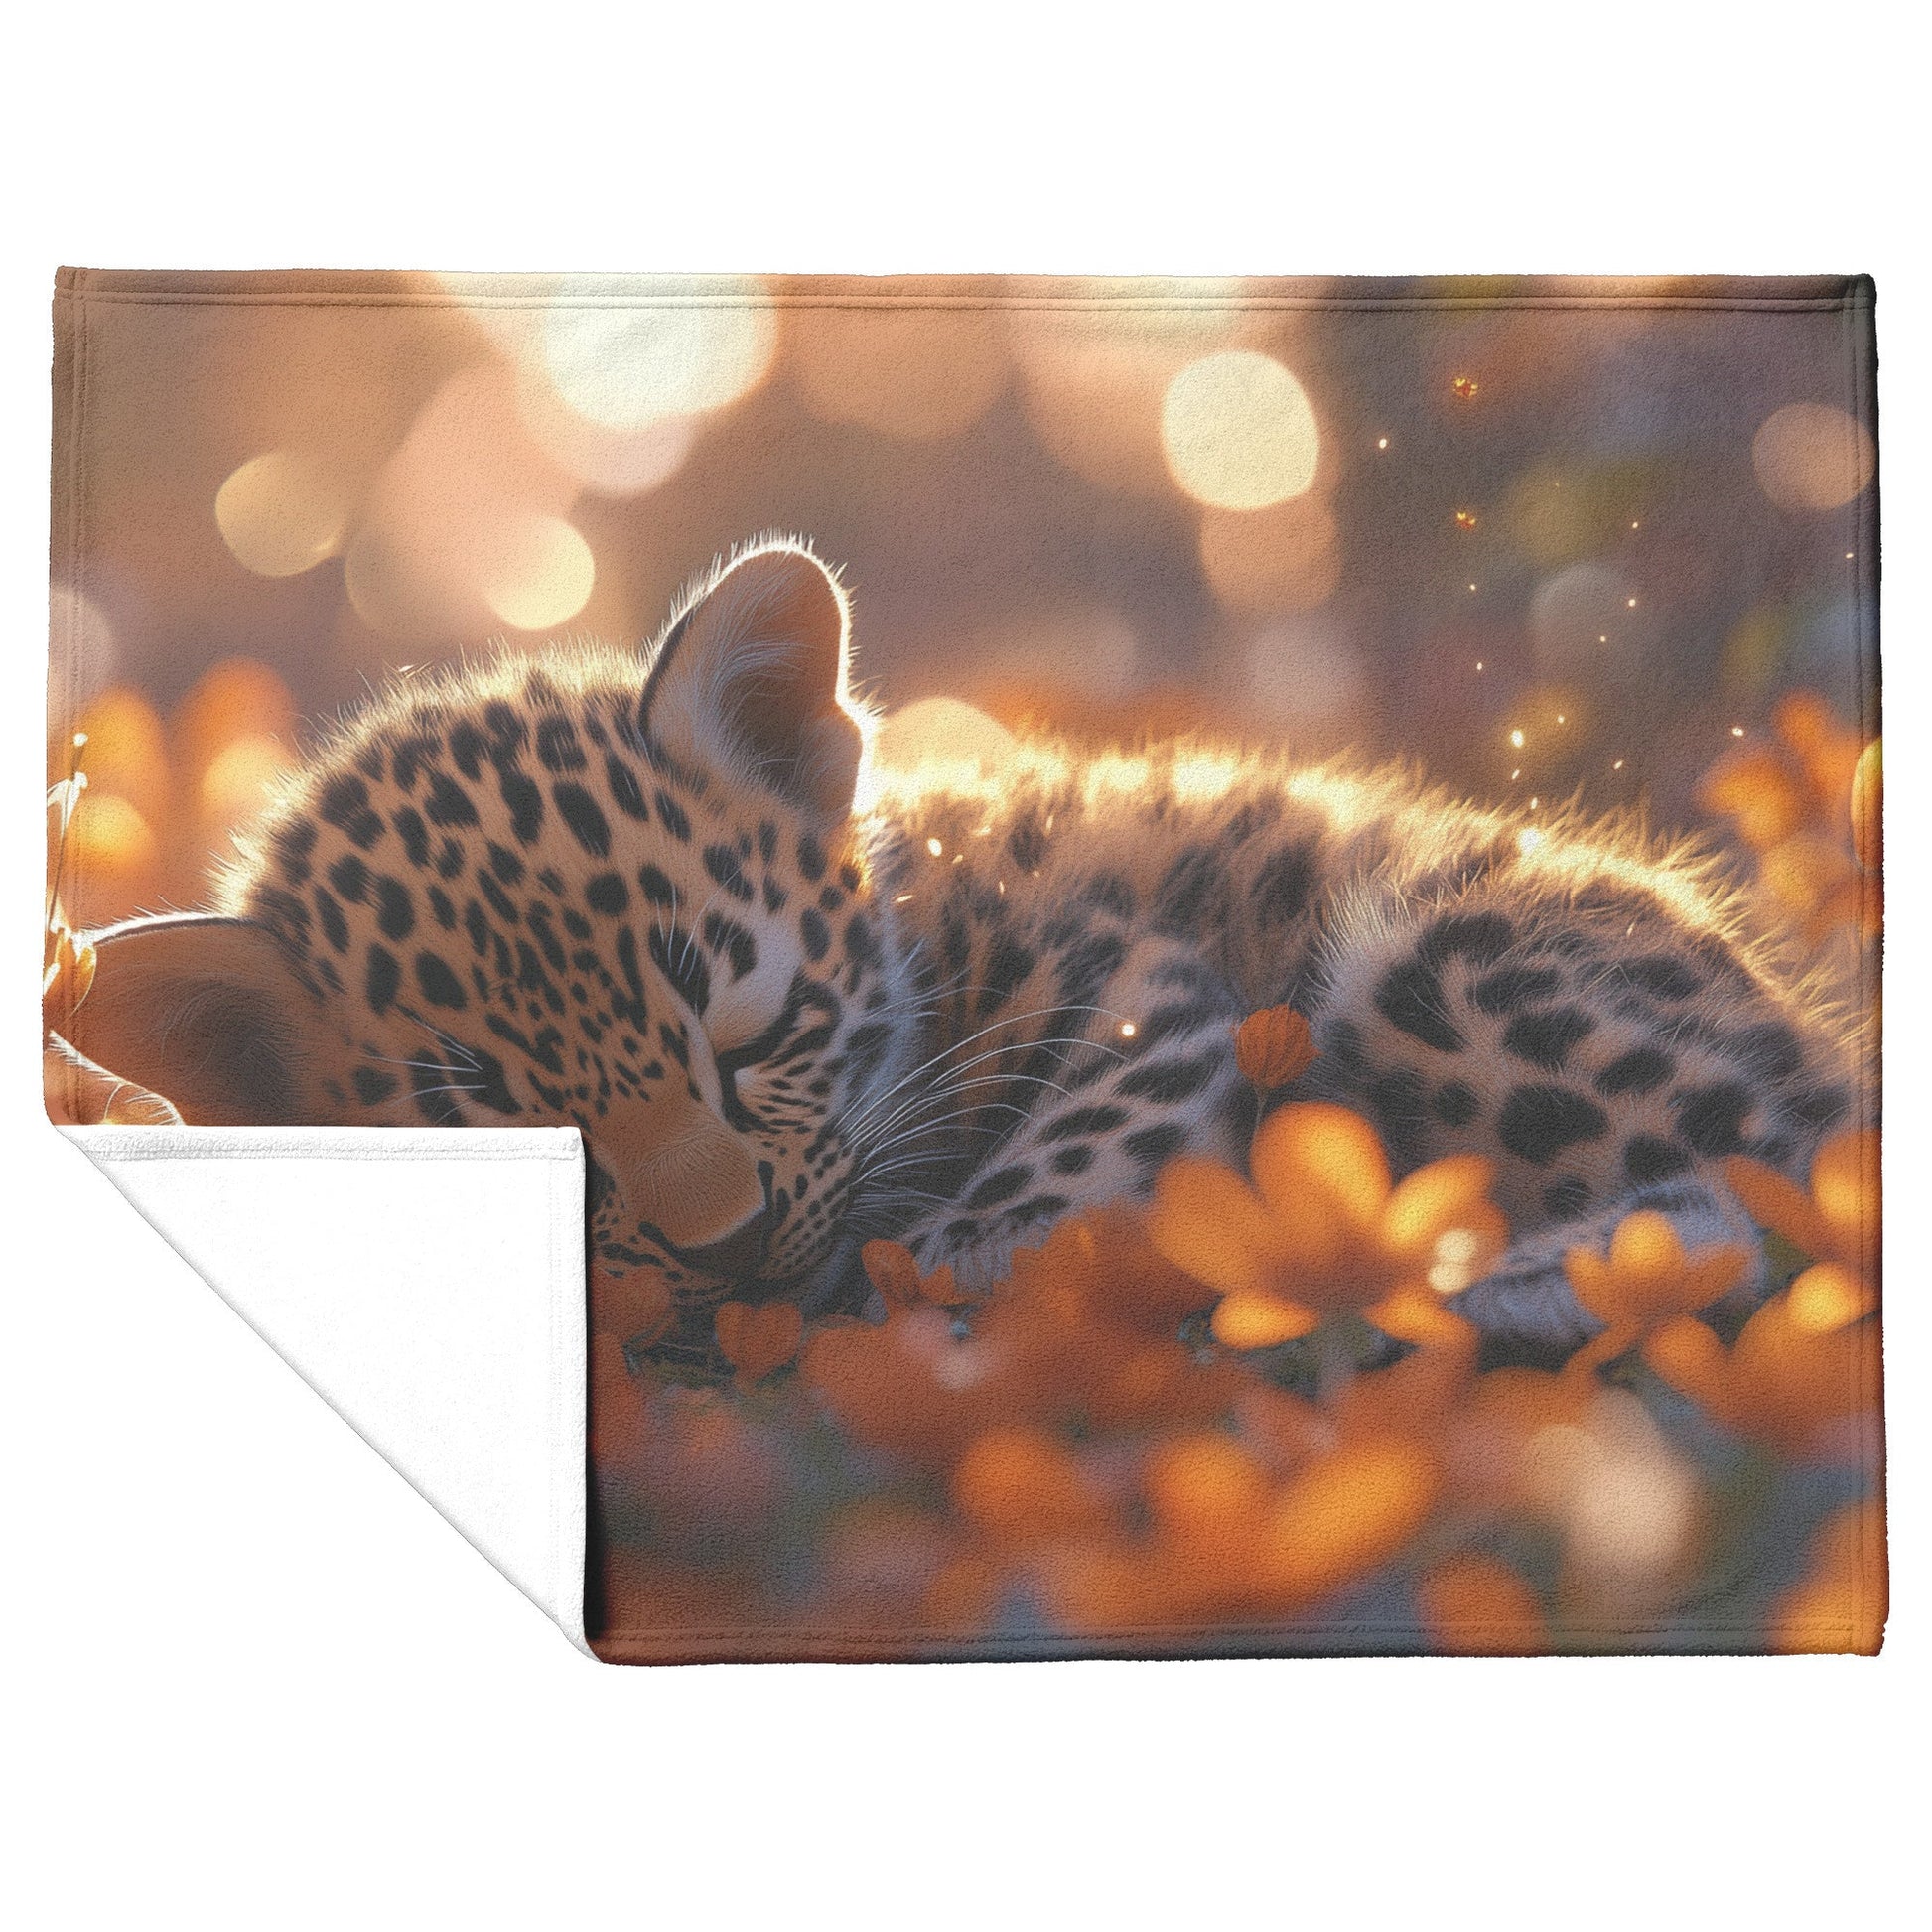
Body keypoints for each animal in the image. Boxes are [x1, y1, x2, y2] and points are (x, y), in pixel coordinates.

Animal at [64, 536, 1867, 1362]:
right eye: (534, 1138)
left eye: (757, 1031)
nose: (728, 1249)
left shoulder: (1147, 994)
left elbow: (1018, 1196)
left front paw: (949, 1281)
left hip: (1441, 953)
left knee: (1784, 1175)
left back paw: (1513, 1272)